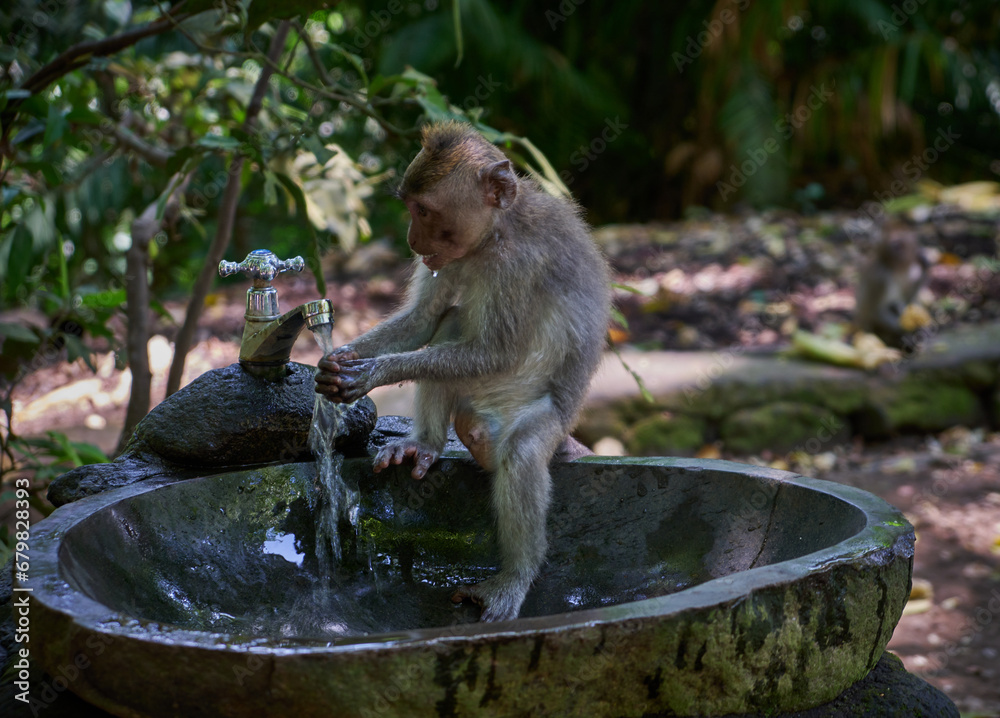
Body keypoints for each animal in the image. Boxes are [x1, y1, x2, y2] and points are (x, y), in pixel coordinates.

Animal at [315, 121, 611, 621]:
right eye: (410, 208)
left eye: (424, 210)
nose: (412, 241)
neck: (491, 237)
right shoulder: (447, 260)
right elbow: (422, 320)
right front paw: (335, 360)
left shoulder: (518, 265)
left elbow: (497, 352)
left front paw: (371, 372)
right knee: (451, 326)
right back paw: (427, 445)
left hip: (544, 420)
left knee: (522, 454)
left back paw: (515, 578)